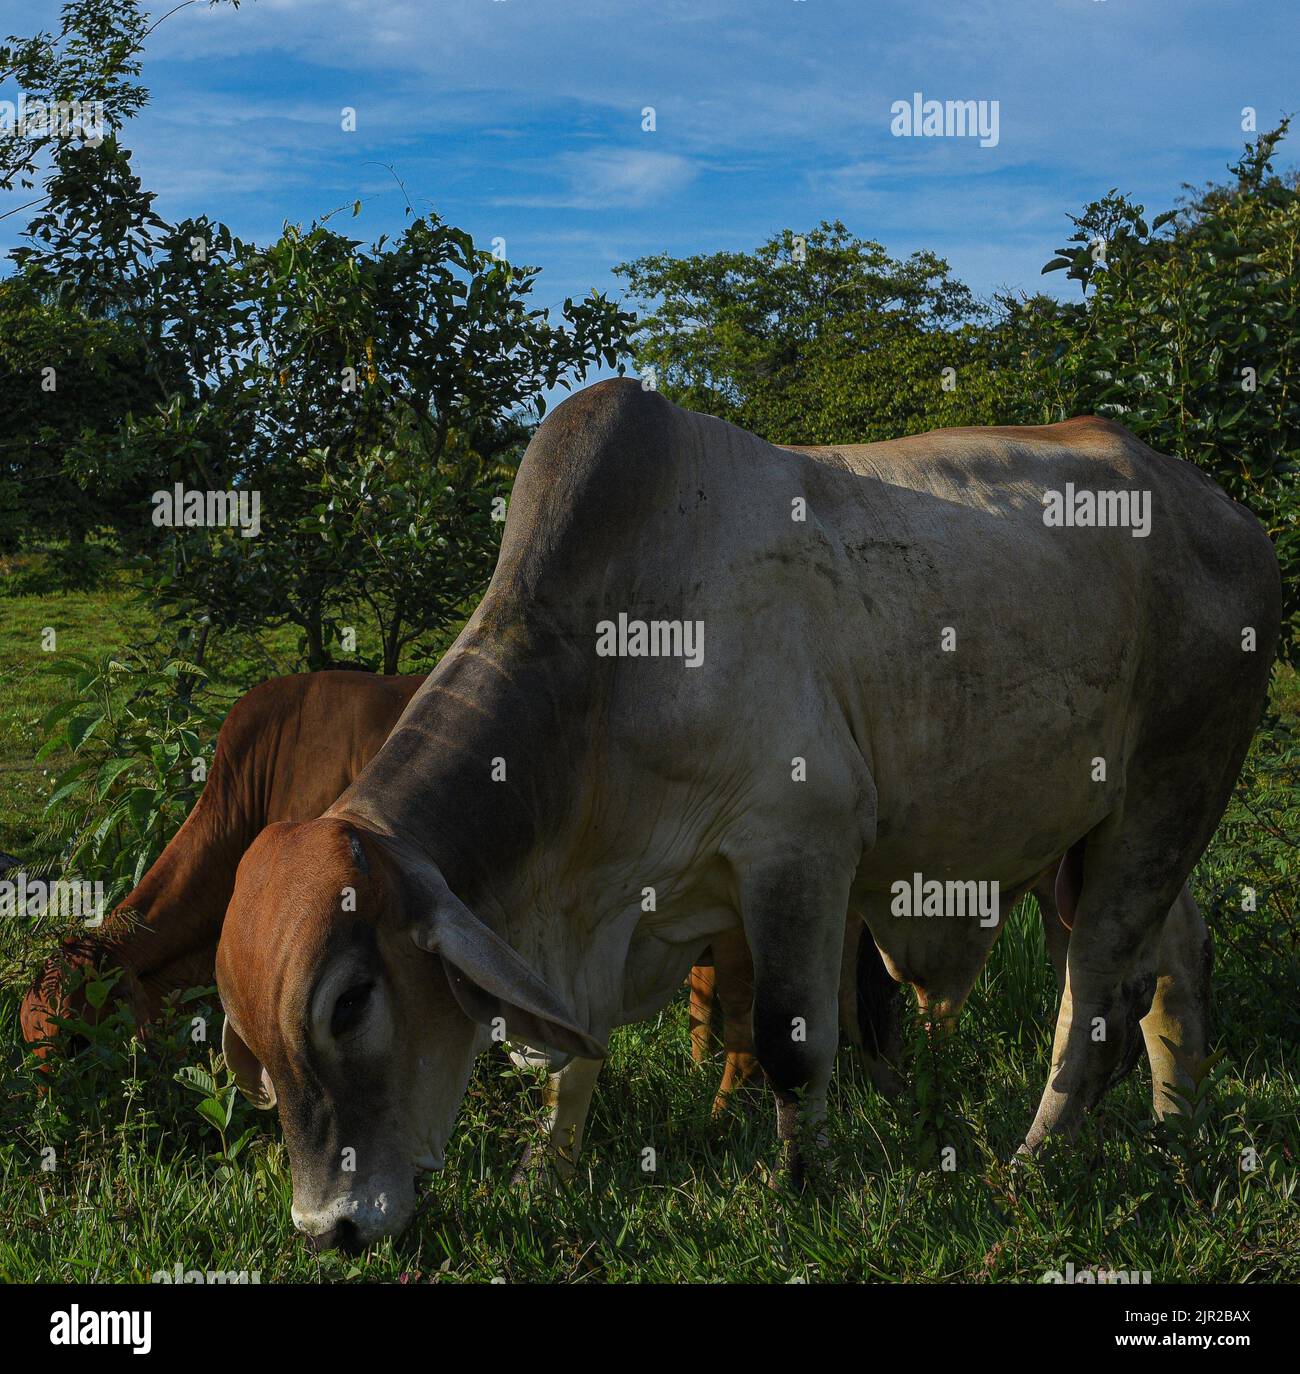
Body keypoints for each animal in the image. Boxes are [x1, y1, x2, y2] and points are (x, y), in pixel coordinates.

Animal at [214, 380, 1276, 1251]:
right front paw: (540, 1178)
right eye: (248, 1039)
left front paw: (803, 1188)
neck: (606, 666)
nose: (329, 1230)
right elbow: (571, 1060)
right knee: (1171, 966)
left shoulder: (799, 848)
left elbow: (792, 1048)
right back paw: (1176, 1132)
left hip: (1172, 790)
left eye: (349, 1002)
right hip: (1098, 826)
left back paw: (1030, 1167)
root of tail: (1225, 511)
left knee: (1097, 997)